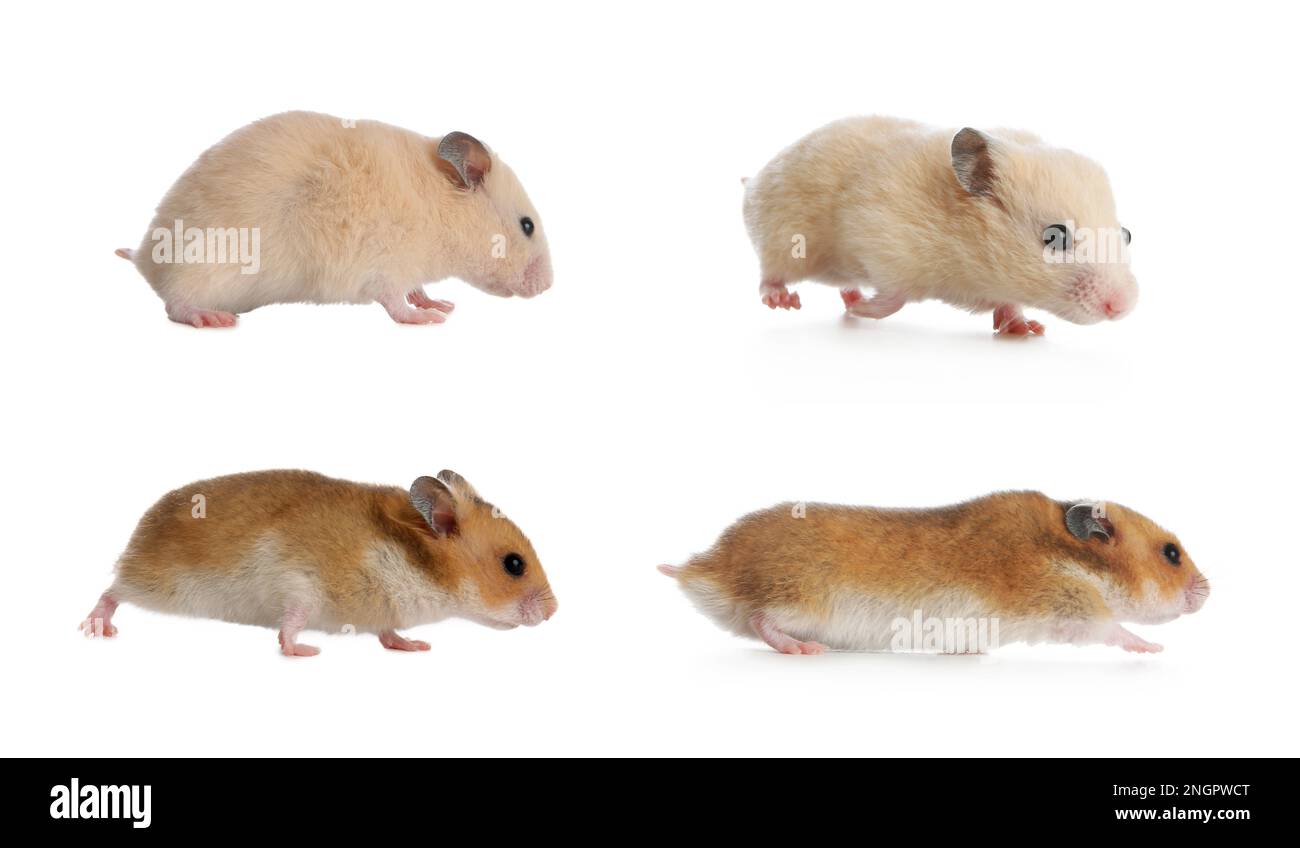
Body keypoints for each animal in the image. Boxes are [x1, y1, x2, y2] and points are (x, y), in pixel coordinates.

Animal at [79, 469, 557, 656]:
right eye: (514, 564)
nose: (554, 613)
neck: (413, 562)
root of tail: (141, 530)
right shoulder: (300, 582)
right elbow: (292, 622)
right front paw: (305, 651)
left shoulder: (384, 611)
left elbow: (389, 632)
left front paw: (415, 646)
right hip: (156, 582)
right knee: (110, 591)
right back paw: (96, 628)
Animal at [116, 111, 553, 327]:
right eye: (527, 225)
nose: (549, 286)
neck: (437, 208)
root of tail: (145, 257)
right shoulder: (386, 266)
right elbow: (396, 302)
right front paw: (427, 317)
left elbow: (416, 289)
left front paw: (438, 303)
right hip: (203, 260)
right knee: (175, 302)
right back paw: (213, 318)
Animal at [659, 492, 1207, 655]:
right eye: (1171, 553)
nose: (1208, 591)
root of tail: (706, 566)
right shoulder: (1069, 605)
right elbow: (1115, 629)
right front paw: (1154, 649)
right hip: (796, 598)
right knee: (760, 621)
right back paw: (805, 650)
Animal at [742, 116, 1137, 335]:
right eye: (1055, 236)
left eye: (1126, 234)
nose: (1124, 307)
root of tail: (752, 183)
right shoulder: (881, 244)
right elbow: (894, 299)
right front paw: (862, 313)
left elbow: (1010, 304)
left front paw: (1027, 329)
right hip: (782, 241)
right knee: (768, 276)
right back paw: (785, 301)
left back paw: (850, 298)